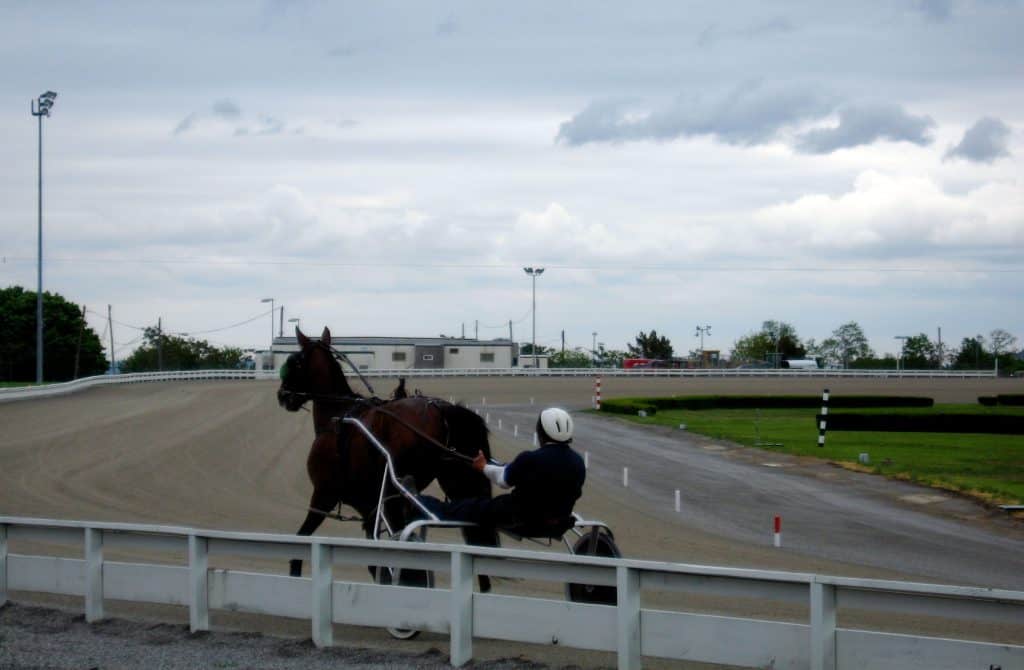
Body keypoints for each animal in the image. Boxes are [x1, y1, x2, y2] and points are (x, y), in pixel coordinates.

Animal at [277, 327, 498, 586]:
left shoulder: (324, 495)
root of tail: (442, 408)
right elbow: (376, 562)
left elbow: (301, 542)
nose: (282, 395)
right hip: (456, 480)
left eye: (293, 361)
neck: (338, 417)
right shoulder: (368, 505)